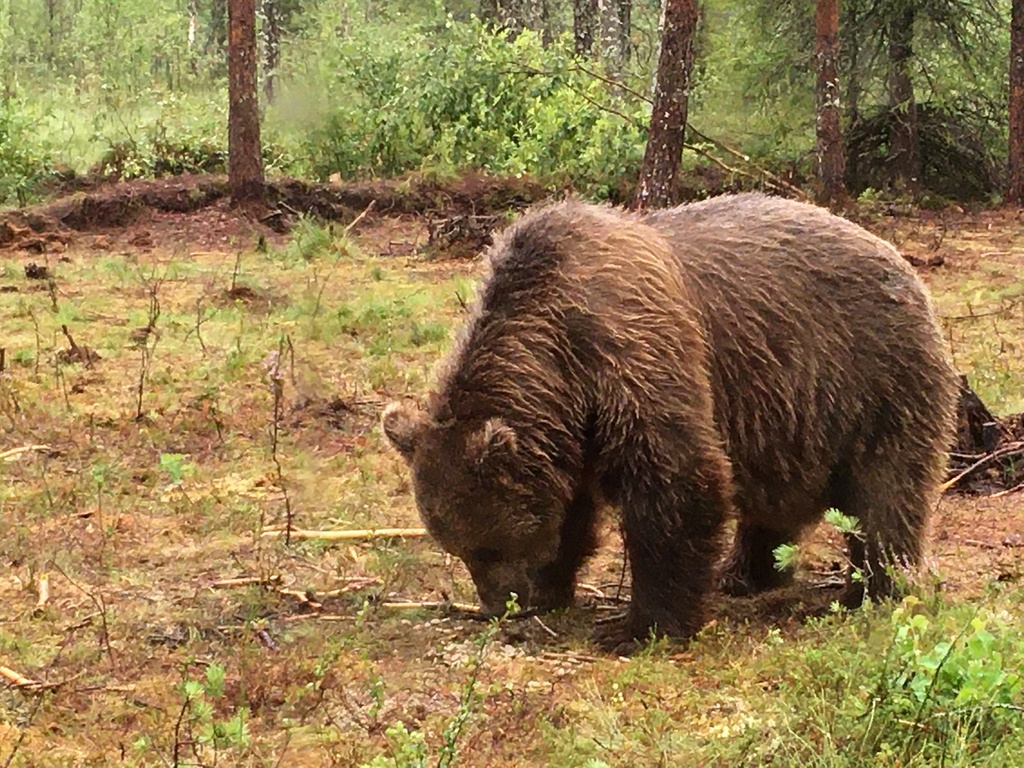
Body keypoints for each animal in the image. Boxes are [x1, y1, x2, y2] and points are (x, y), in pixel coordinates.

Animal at [382, 192, 958, 654]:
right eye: (458, 549)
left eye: (489, 546)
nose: (498, 604)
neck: (555, 357)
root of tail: (898, 258)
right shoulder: (573, 431)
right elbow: (572, 508)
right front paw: (553, 584)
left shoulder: (632, 351)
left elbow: (675, 481)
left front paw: (636, 628)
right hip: (787, 412)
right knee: (775, 498)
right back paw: (742, 572)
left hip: (873, 378)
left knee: (887, 493)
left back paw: (876, 586)